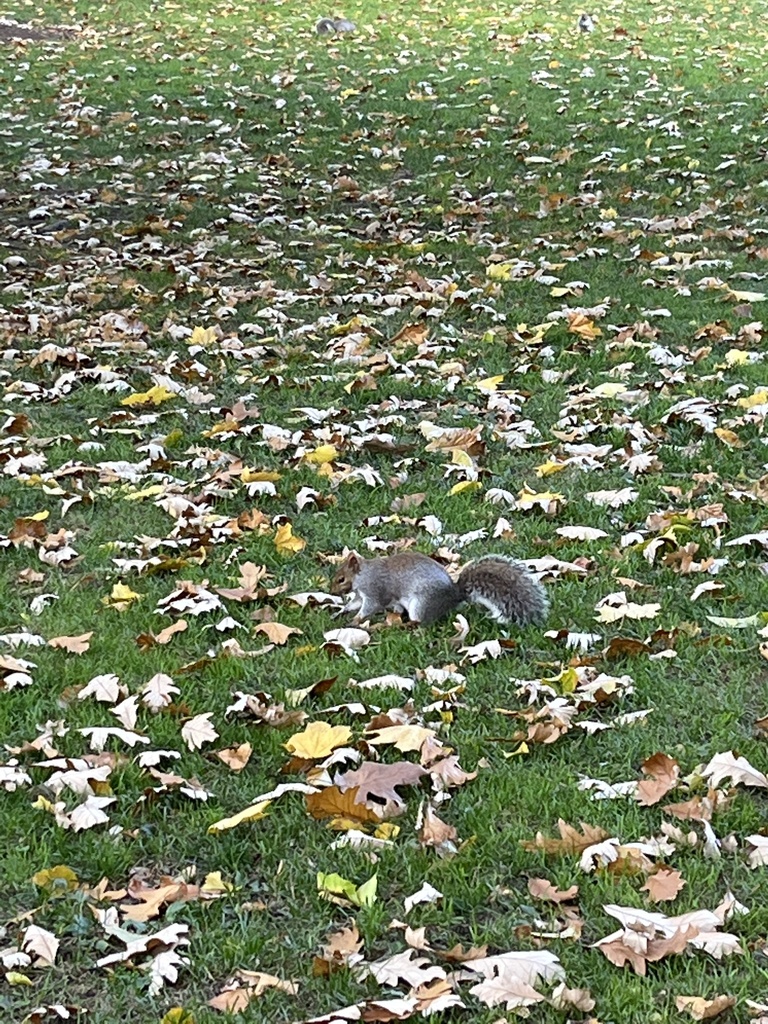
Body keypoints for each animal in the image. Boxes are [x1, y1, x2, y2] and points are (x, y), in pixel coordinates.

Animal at [330, 551, 548, 626]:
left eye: (341, 579)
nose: (332, 592)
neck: (363, 575)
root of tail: (454, 595)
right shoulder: (360, 595)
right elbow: (354, 603)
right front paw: (340, 612)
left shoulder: (374, 590)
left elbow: (370, 607)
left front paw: (356, 620)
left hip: (421, 604)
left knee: (422, 623)